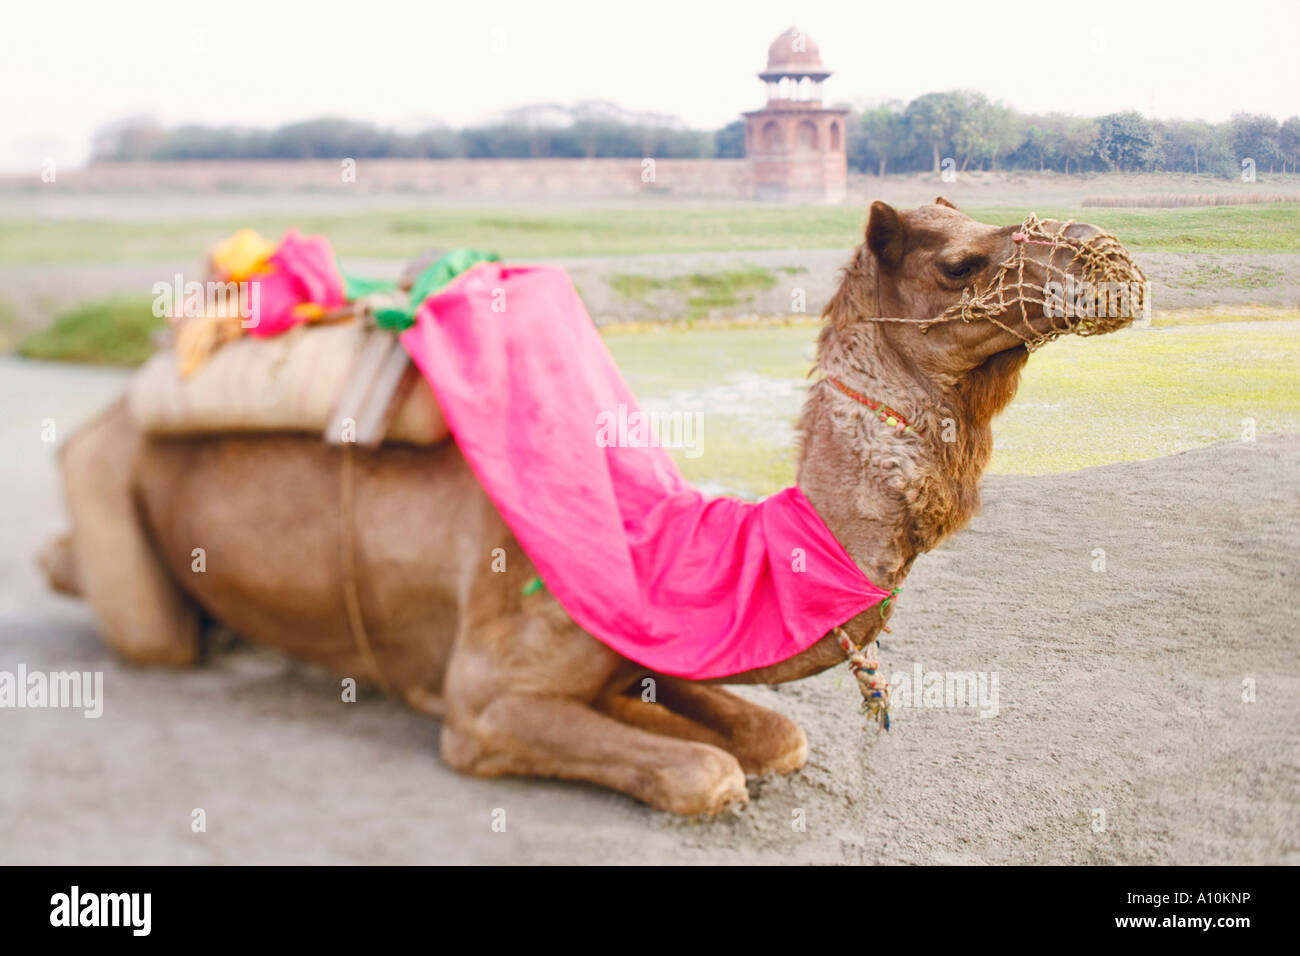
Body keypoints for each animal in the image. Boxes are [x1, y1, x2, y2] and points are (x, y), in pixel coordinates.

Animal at [43, 200, 1141, 815]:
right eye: (958, 261)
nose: (1107, 254)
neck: (654, 542)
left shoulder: (649, 643)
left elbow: (770, 736)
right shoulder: (485, 697)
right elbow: (705, 774)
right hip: (108, 494)